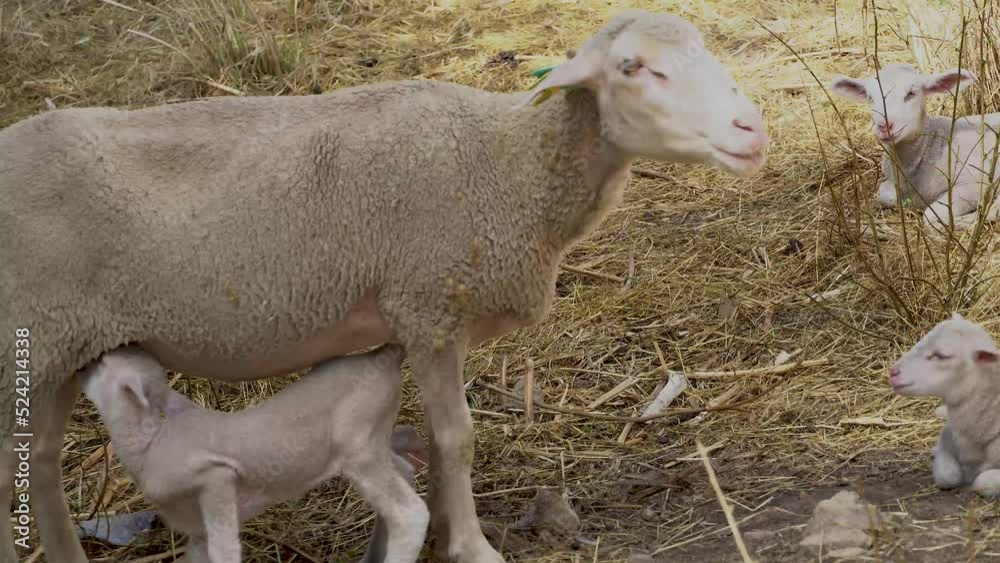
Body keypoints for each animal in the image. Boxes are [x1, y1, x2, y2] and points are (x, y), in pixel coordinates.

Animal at [77, 343, 429, 563]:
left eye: (104, 363)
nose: (80, 366)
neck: (150, 445)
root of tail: (386, 354)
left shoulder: (216, 479)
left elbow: (226, 551)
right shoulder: (198, 529)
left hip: (359, 448)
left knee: (410, 513)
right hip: (373, 440)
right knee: (404, 471)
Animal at [830, 63, 1000, 230]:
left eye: (911, 93)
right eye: (871, 98)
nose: (884, 126)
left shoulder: (975, 183)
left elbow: (930, 216)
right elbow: (885, 194)